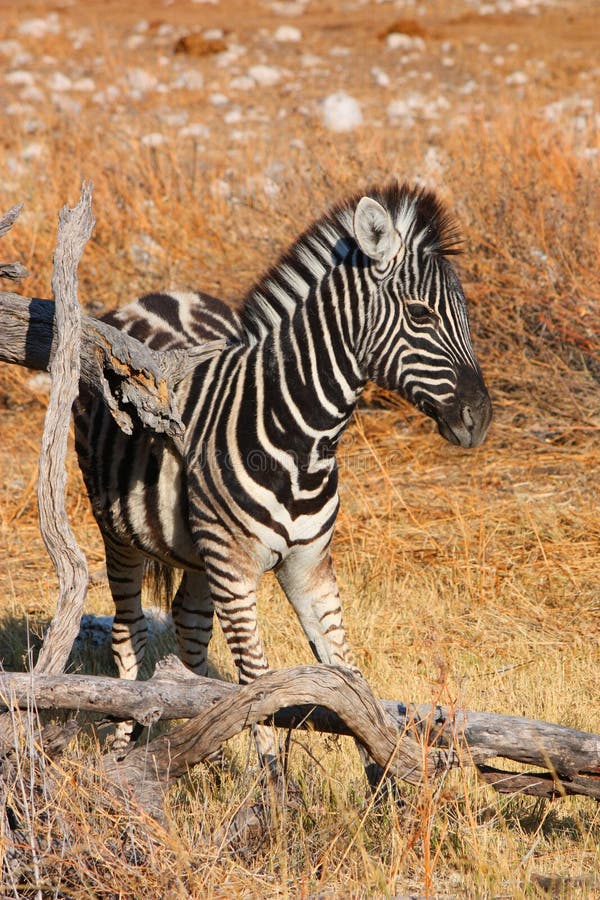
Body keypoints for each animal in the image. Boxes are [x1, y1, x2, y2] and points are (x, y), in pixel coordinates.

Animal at [75, 181, 492, 768]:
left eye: (464, 316)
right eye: (420, 315)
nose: (481, 419)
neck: (304, 441)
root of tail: (158, 294)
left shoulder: (309, 565)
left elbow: (348, 680)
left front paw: (385, 769)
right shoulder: (234, 568)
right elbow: (258, 688)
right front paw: (273, 786)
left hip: (198, 549)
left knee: (190, 626)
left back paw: (203, 745)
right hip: (119, 531)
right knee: (127, 631)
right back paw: (122, 743)